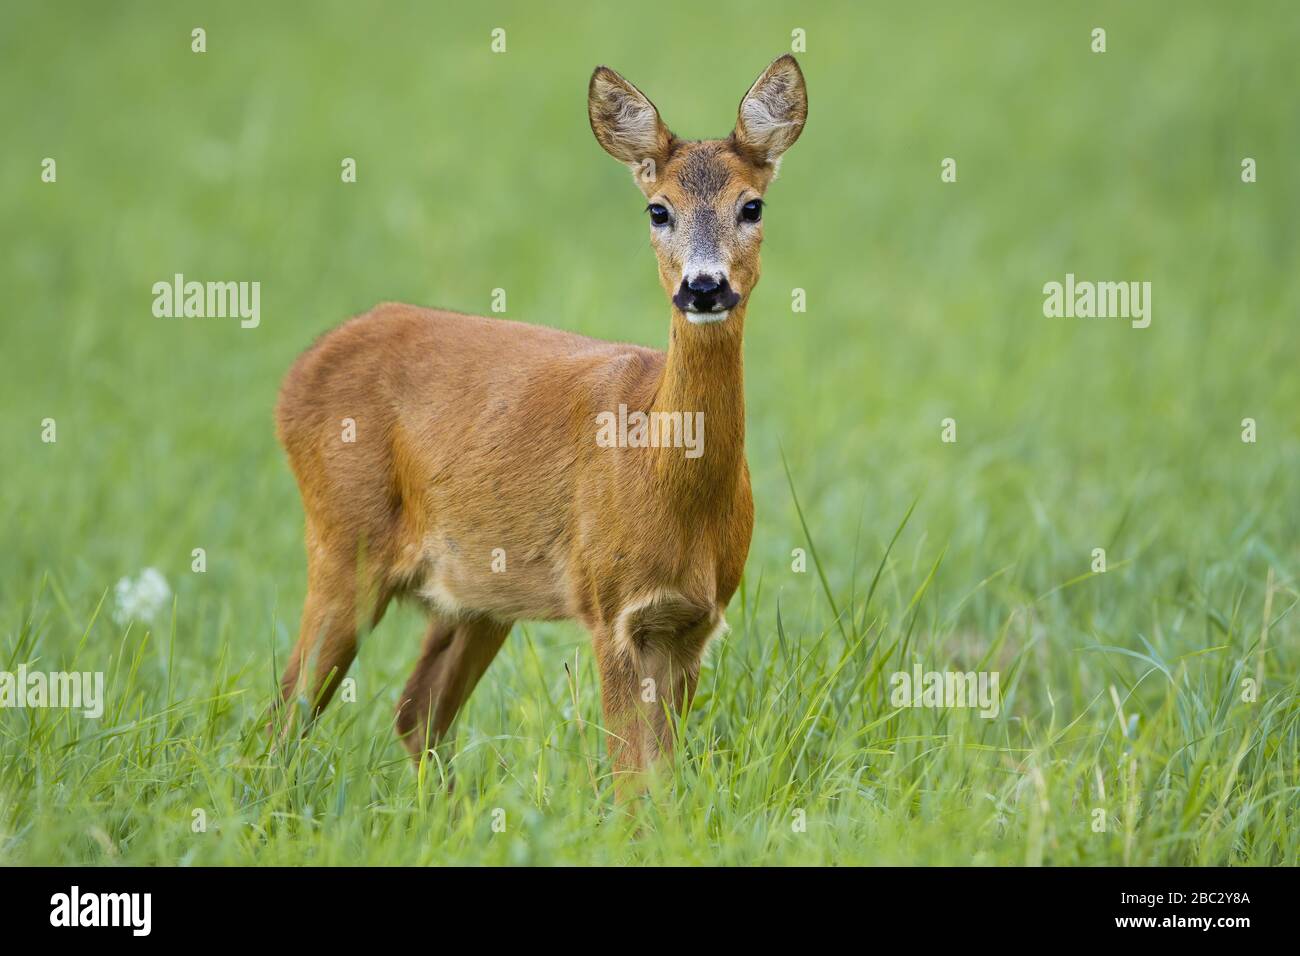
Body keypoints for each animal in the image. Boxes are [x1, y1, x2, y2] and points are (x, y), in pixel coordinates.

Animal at [273, 54, 807, 794]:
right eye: (658, 209)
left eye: (751, 206)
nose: (704, 287)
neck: (659, 463)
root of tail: (298, 374)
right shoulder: (610, 607)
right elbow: (630, 780)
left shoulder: (693, 620)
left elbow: (662, 779)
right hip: (342, 541)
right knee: (287, 712)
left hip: (476, 595)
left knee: (416, 711)